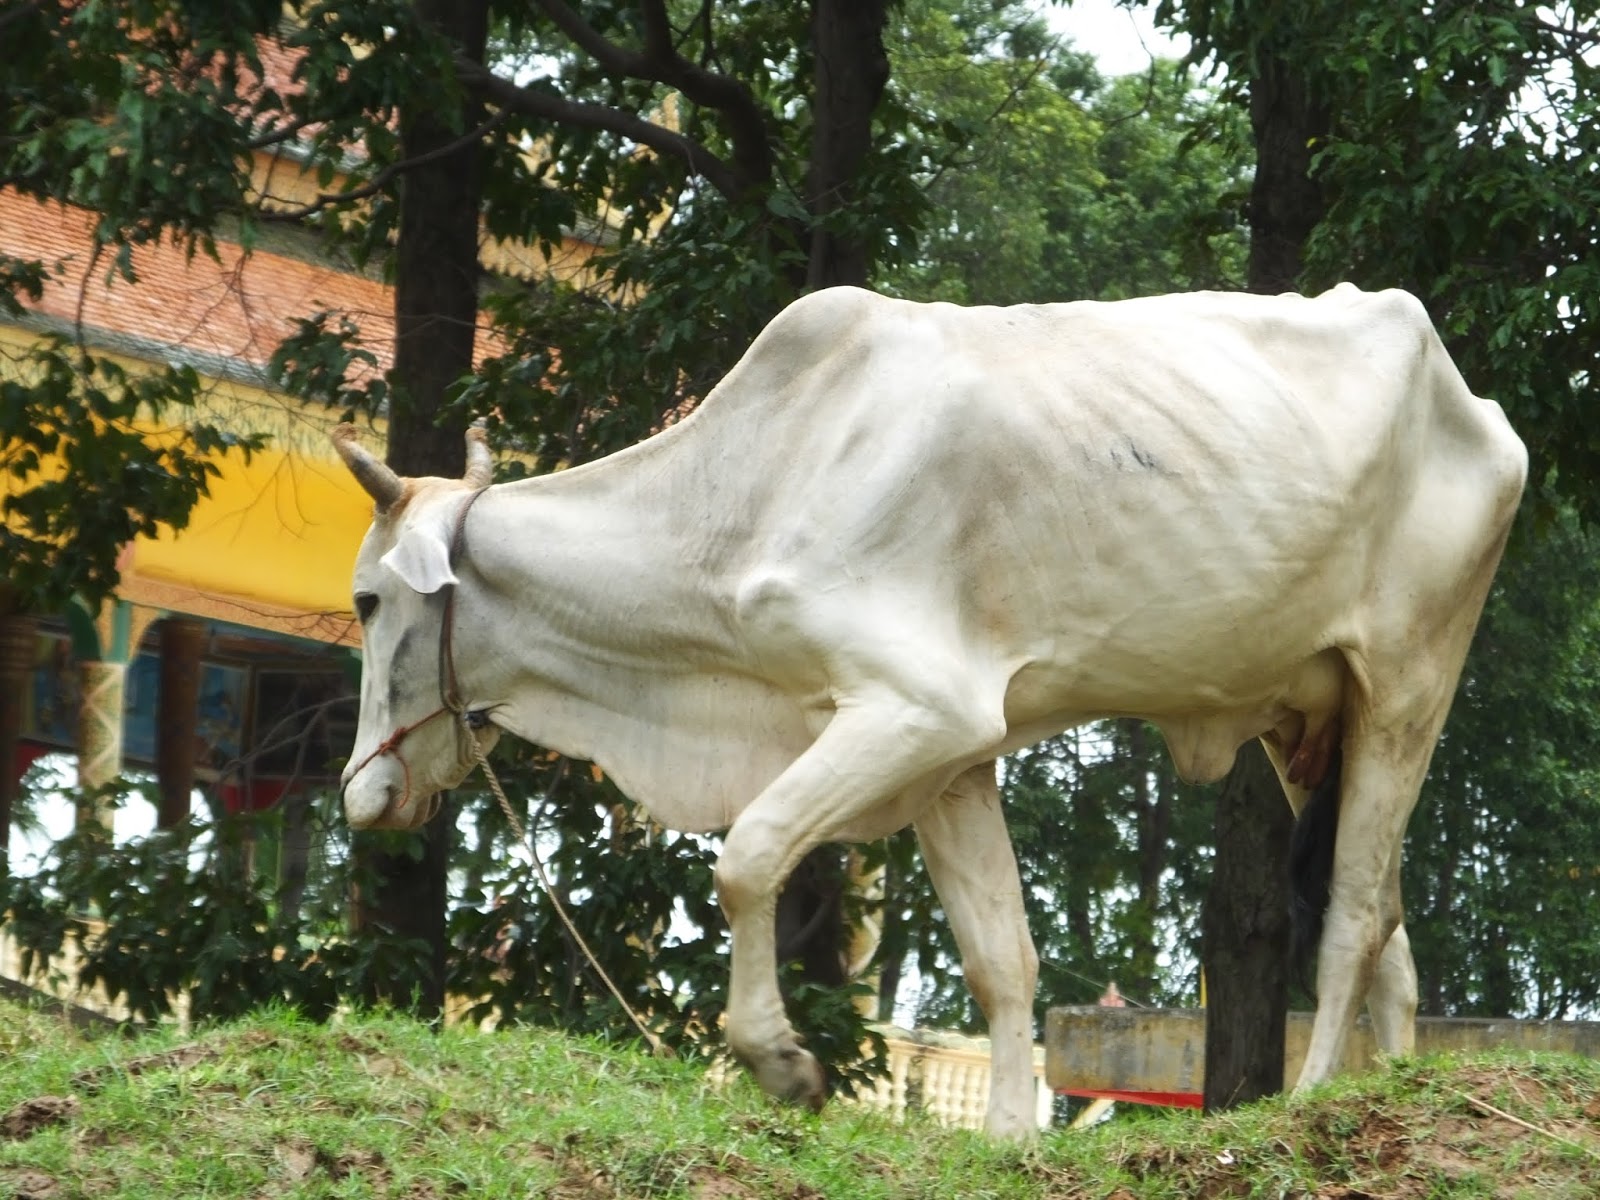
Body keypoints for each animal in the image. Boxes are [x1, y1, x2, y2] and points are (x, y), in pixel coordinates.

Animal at [334, 284, 1527, 1139]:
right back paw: (1376, 1099)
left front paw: (782, 1062)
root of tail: (1476, 403)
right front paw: (1007, 1142)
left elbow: (748, 856)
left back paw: (1312, 1099)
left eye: (366, 599)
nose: (361, 793)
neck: (748, 495)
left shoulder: (918, 711)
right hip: (1309, 720)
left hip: (1408, 683)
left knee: (1354, 917)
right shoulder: (955, 761)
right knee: (1388, 928)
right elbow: (1004, 960)